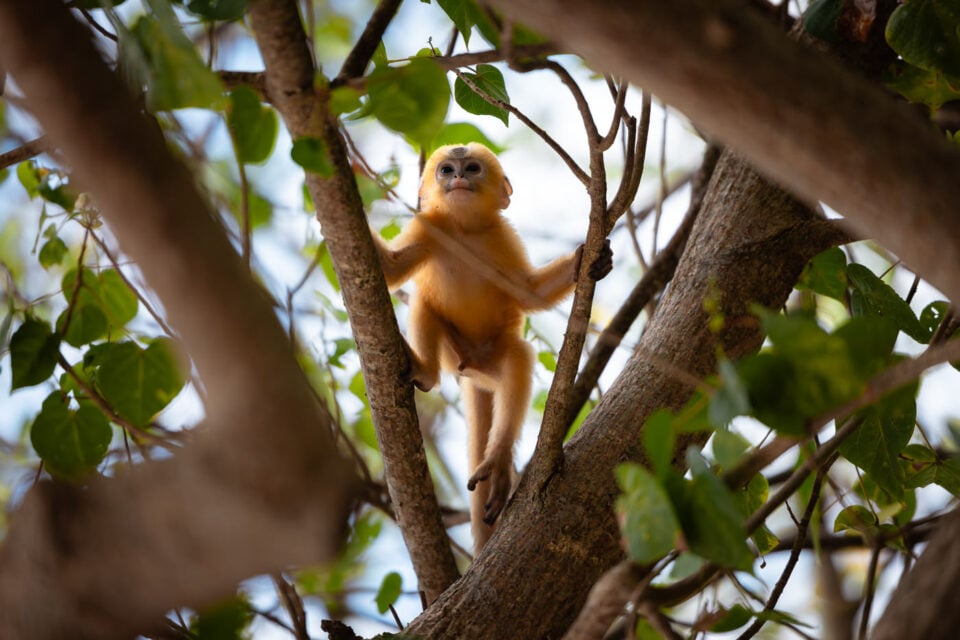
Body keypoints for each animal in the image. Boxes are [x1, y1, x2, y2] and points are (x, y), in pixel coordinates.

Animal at [371, 143, 611, 553]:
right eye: (446, 170)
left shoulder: (503, 237)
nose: (457, 177)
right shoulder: (429, 227)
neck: (464, 230)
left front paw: (584, 261)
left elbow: (528, 293)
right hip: (455, 355)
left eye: (472, 168)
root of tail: (473, 370)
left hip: (490, 359)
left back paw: (498, 460)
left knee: (518, 357)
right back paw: (424, 371)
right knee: (424, 305)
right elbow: (389, 270)